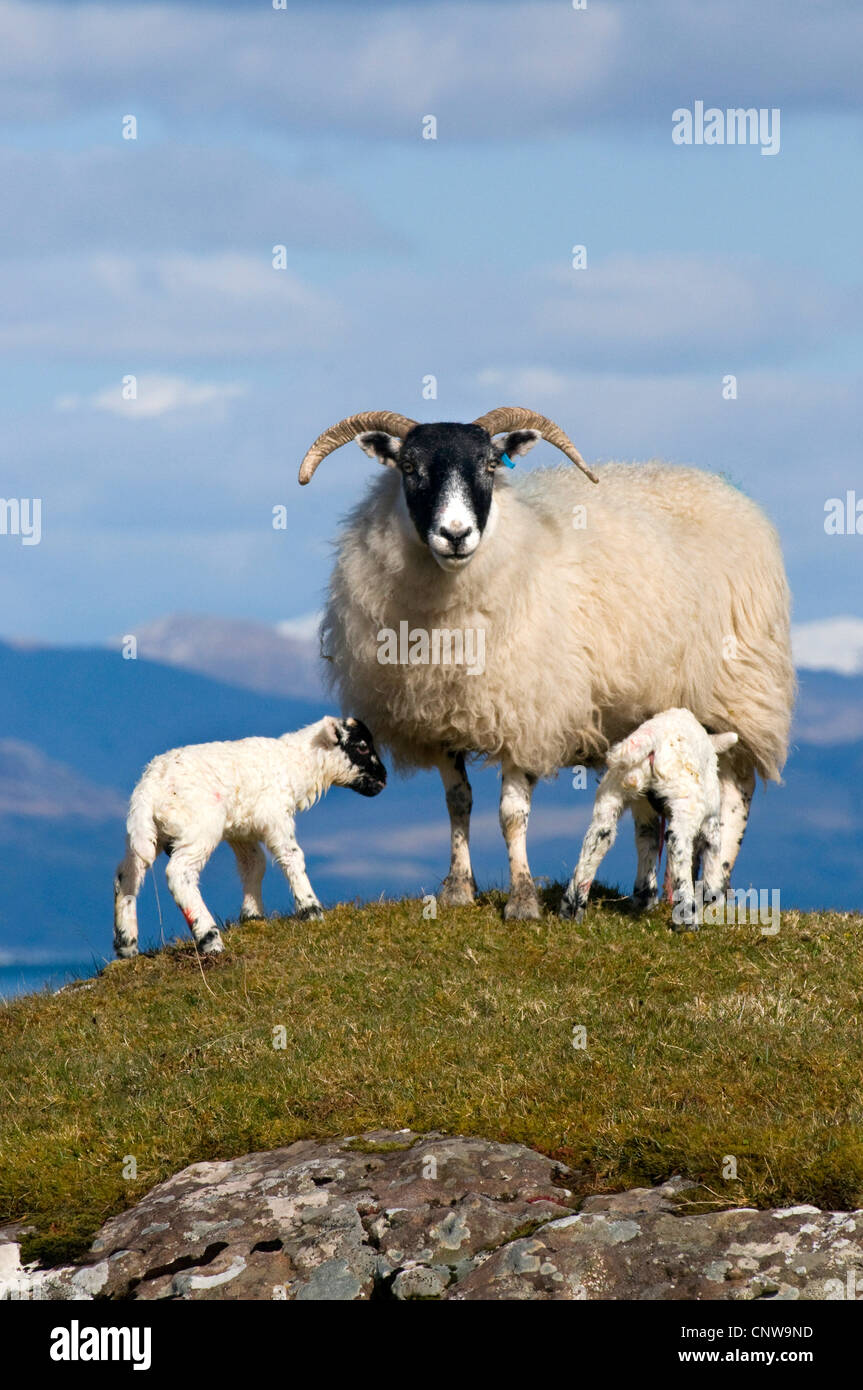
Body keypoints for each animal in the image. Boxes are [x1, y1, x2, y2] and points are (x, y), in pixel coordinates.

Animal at [113, 716, 386, 958]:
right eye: (362, 746)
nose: (383, 779)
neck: (296, 765)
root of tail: (148, 788)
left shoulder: (241, 831)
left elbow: (254, 865)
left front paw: (252, 916)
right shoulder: (276, 817)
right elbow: (292, 858)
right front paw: (311, 911)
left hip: (148, 834)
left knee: (127, 873)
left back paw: (126, 944)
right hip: (198, 829)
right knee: (179, 874)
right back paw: (209, 939)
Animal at [559, 708, 739, 928]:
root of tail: (651, 740)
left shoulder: (645, 812)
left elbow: (648, 845)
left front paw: (645, 902)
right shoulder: (711, 813)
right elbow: (712, 853)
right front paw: (715, 906)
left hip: (613, 793)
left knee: (597, 842)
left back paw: (571, 911)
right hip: (687, 799)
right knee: (678, 843)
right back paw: (688, 920)